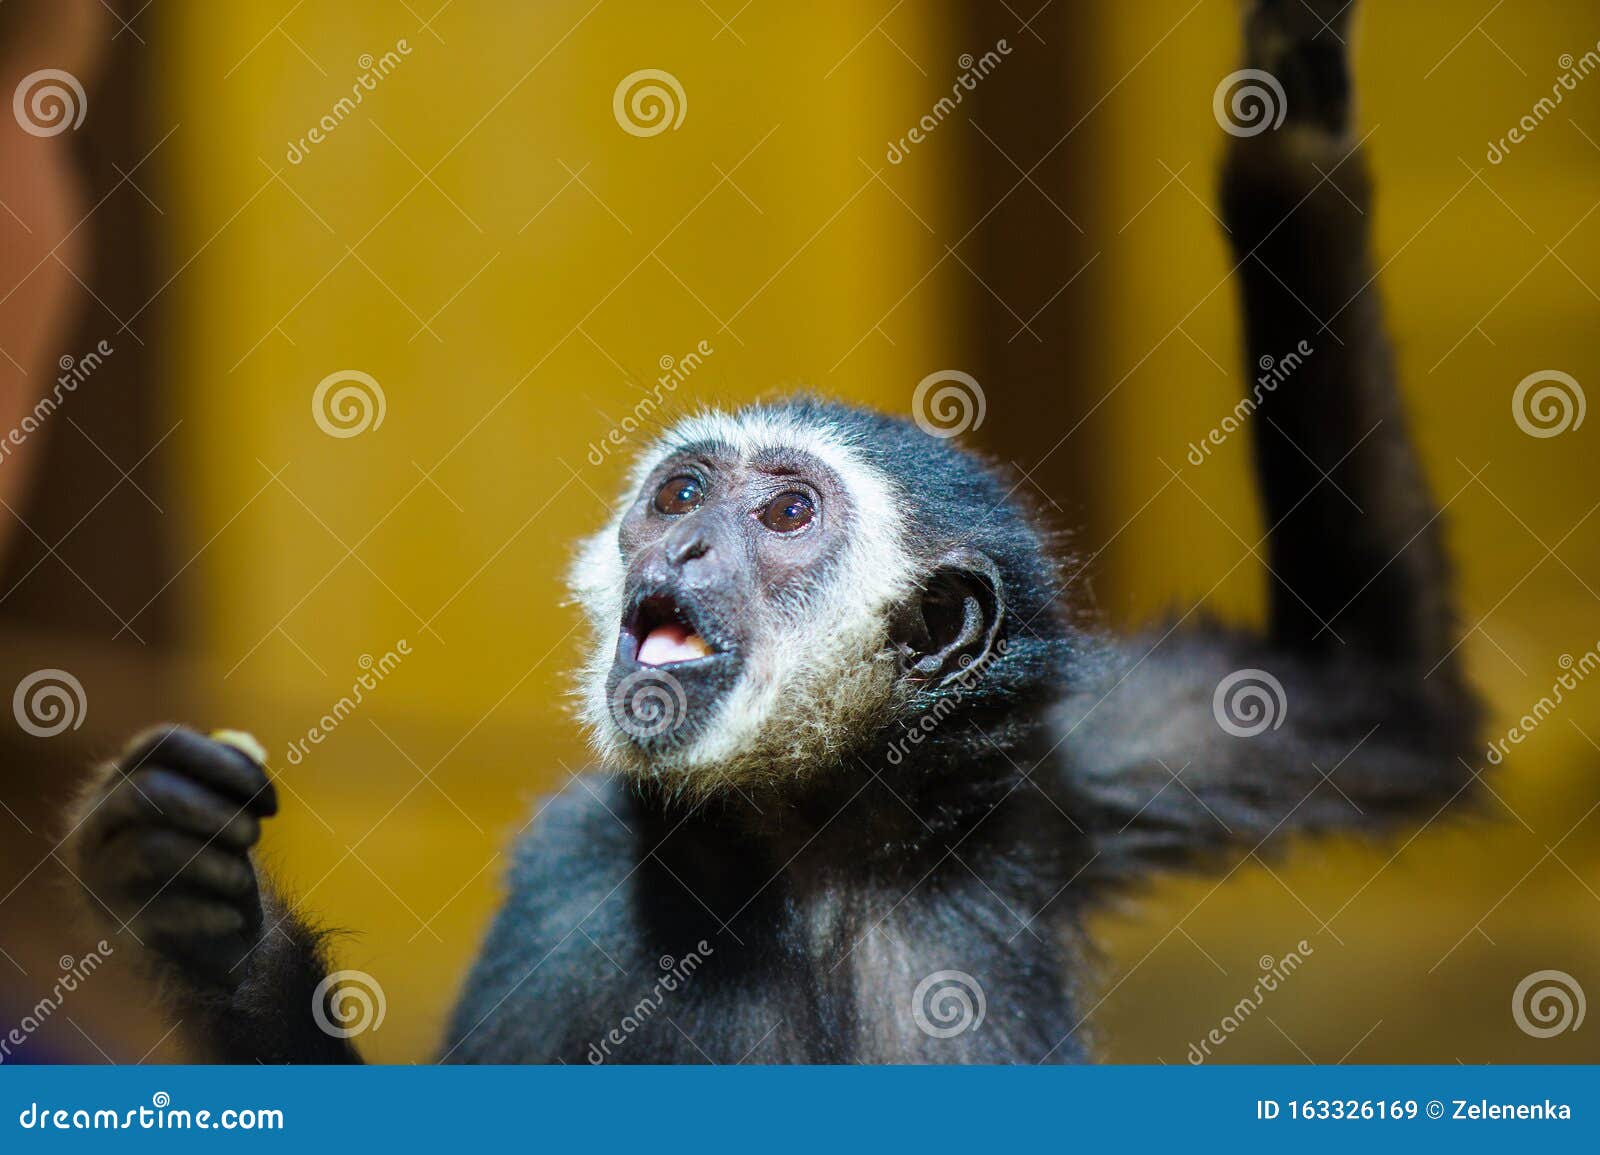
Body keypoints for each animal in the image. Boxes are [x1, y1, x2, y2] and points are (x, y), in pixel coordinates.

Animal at [61, 0, 1481, 1064]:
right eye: (684, 496)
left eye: (786, 512)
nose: (677, 552)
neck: (823, 832)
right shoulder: (575, 893)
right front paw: (211, 923)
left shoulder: (1062, 765)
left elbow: (1387, 698)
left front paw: (1293, 105)